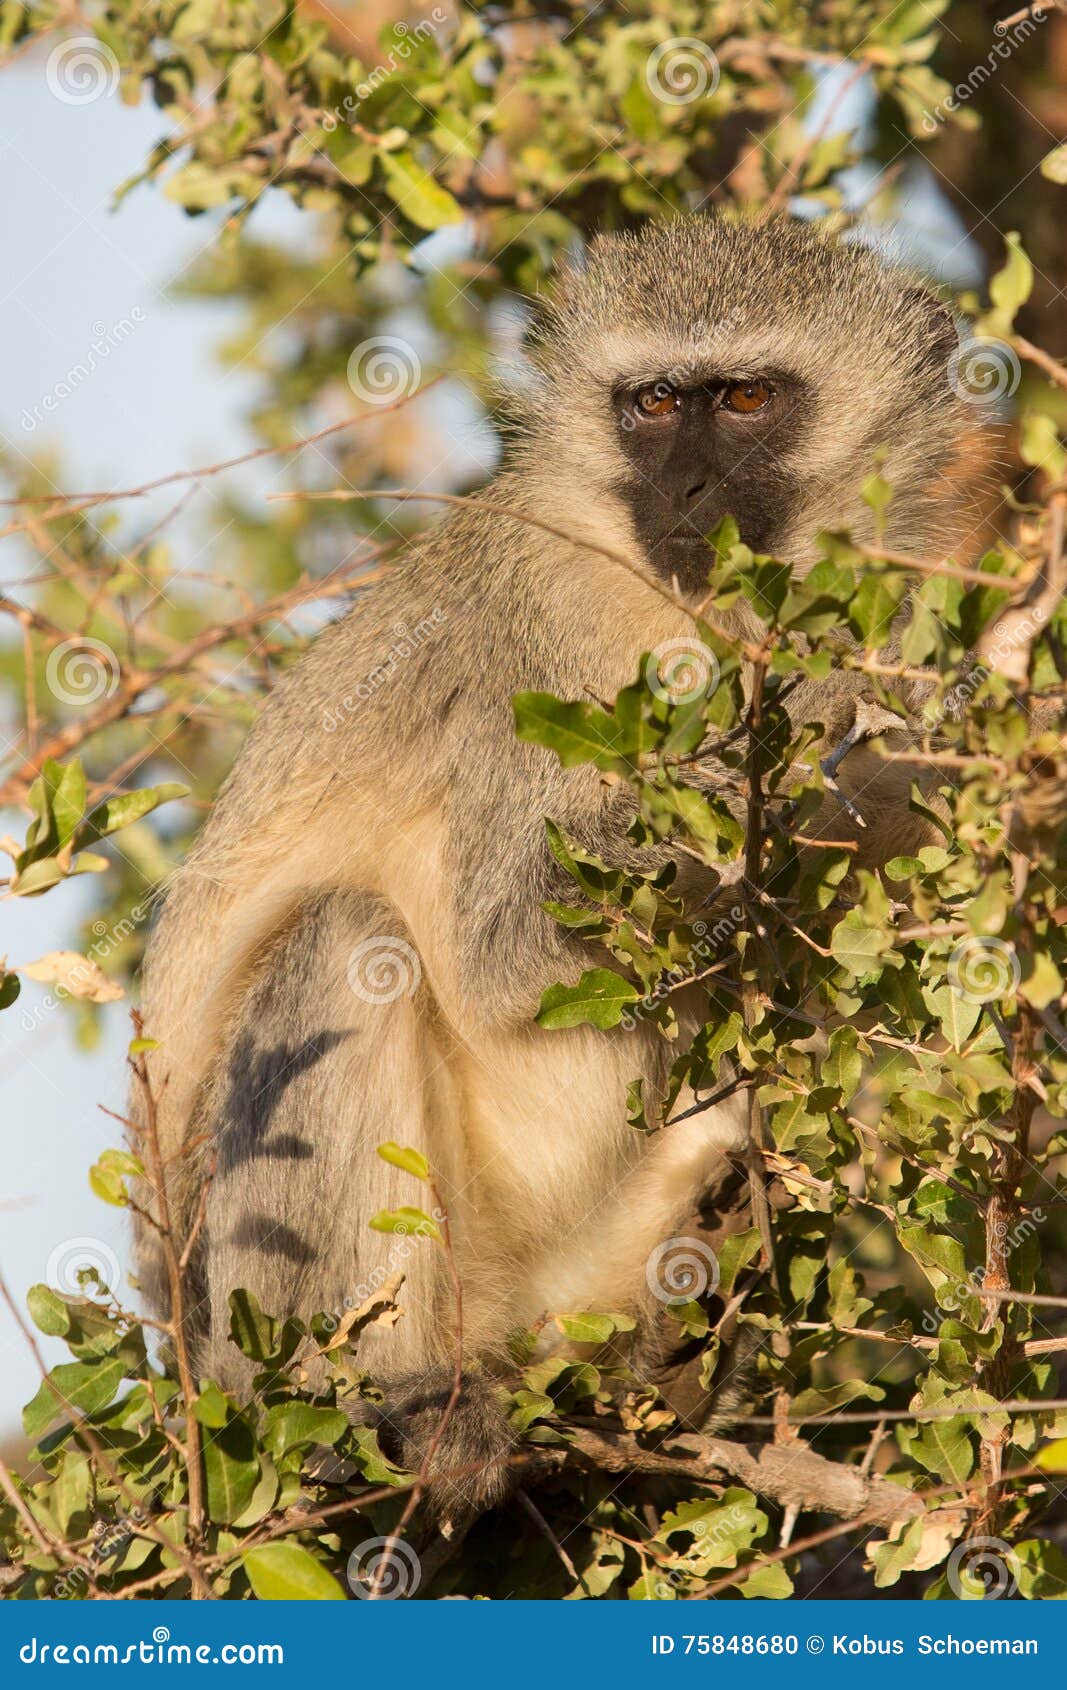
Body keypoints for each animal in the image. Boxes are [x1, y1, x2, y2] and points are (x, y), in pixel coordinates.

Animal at [132, 214, 1002, 1524]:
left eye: (744, 398)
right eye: (651, 404)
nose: (685, 491)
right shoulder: (544, 646)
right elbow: (502, 952)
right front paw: (824, 715)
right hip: (255, 1327)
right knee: (342, 944)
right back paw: (393, 1400)